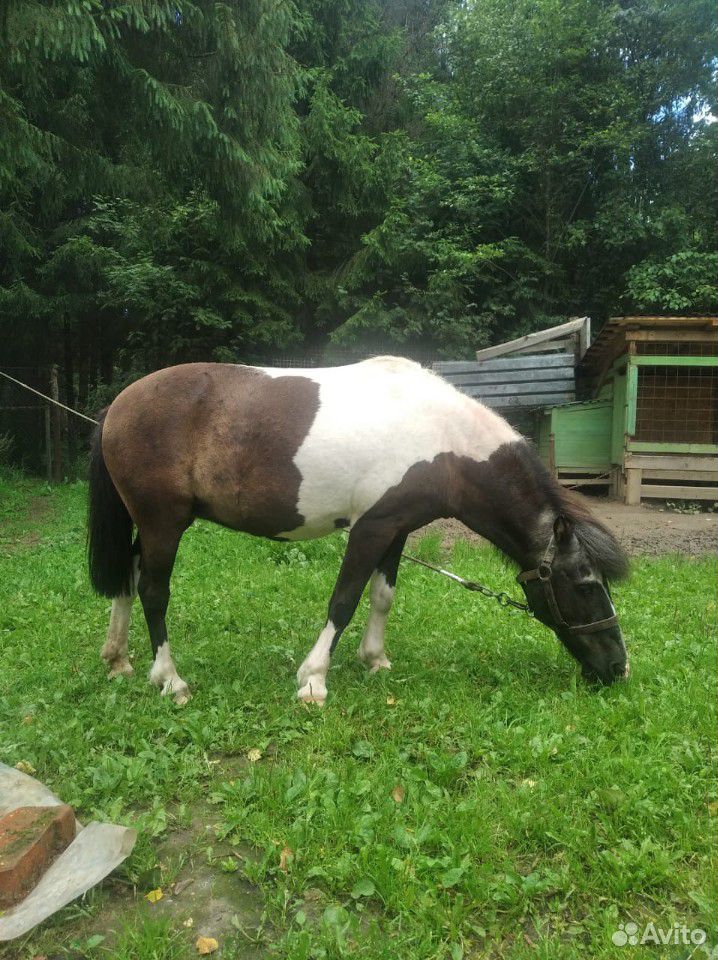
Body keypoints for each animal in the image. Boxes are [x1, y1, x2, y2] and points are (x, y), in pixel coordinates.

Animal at [87, 356, 629, 706]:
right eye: (586, 585)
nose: (618, 669)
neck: (440, 439)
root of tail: (117, 406)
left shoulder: (398, 528)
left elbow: (382, 596)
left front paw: (375, 659)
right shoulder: (371, 528)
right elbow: (344, 599)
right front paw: (313, 680)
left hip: (150, 525)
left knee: (128, 575)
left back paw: (117, 659)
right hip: (164, 522)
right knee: (153, 590)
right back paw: (169, 680)